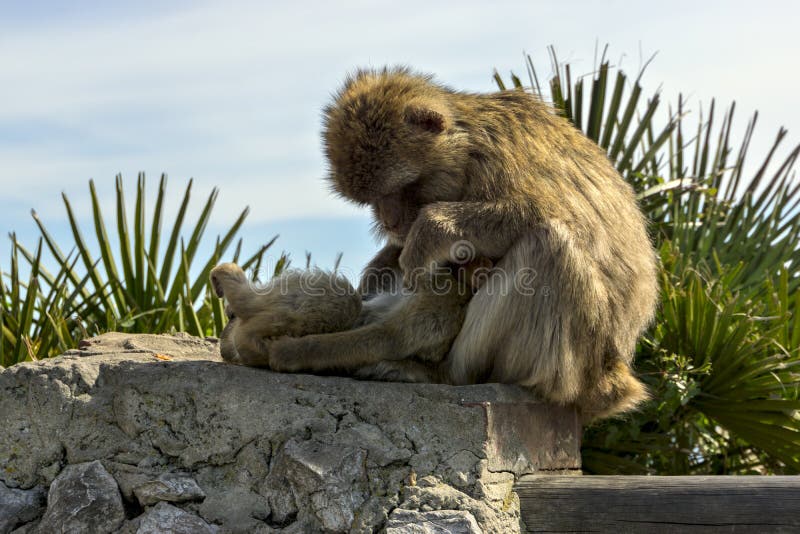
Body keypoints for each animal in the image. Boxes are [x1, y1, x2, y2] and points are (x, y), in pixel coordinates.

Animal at [217, 67, 658, 421]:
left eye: (401, 188)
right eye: (373, 199)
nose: (390, 220)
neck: (469, 145)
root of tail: (611, 382)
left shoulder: (501, 159)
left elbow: (549, 213)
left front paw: (432, 230)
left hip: (572, 369)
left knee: (548, 244)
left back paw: (442, 375)